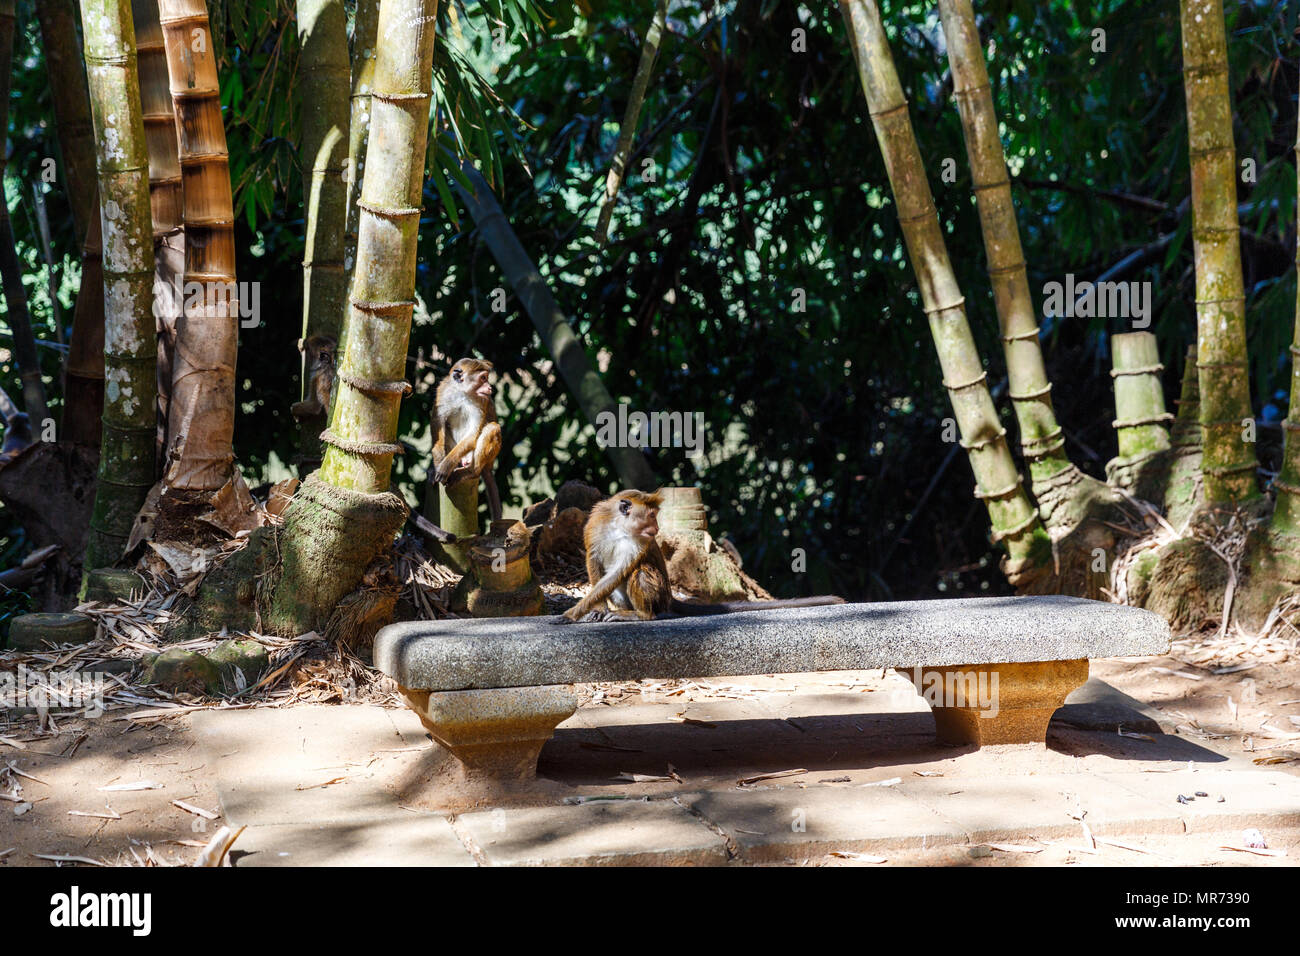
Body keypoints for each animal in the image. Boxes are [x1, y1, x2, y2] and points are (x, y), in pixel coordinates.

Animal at [428, 357, 503, 521]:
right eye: (483, 378)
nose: (490, 387)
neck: (462, 393)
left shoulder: (482, 401)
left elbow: (473, 435)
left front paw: (446, 465)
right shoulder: (444, 391)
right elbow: (438, 423)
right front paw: (438, 459)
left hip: (486, 459)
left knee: (492, 428)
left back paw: (471, 470)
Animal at [560, 489, 845, 623]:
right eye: (651, 515)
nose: (657, 527)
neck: (621, 527)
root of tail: (670, 598)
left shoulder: (640, 541)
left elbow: (621, 570)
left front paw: (571, 615)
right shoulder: (595, 524)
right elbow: (594, 562)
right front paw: (594, 610)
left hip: (660, 596)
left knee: (639, 573)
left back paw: (642, 615)